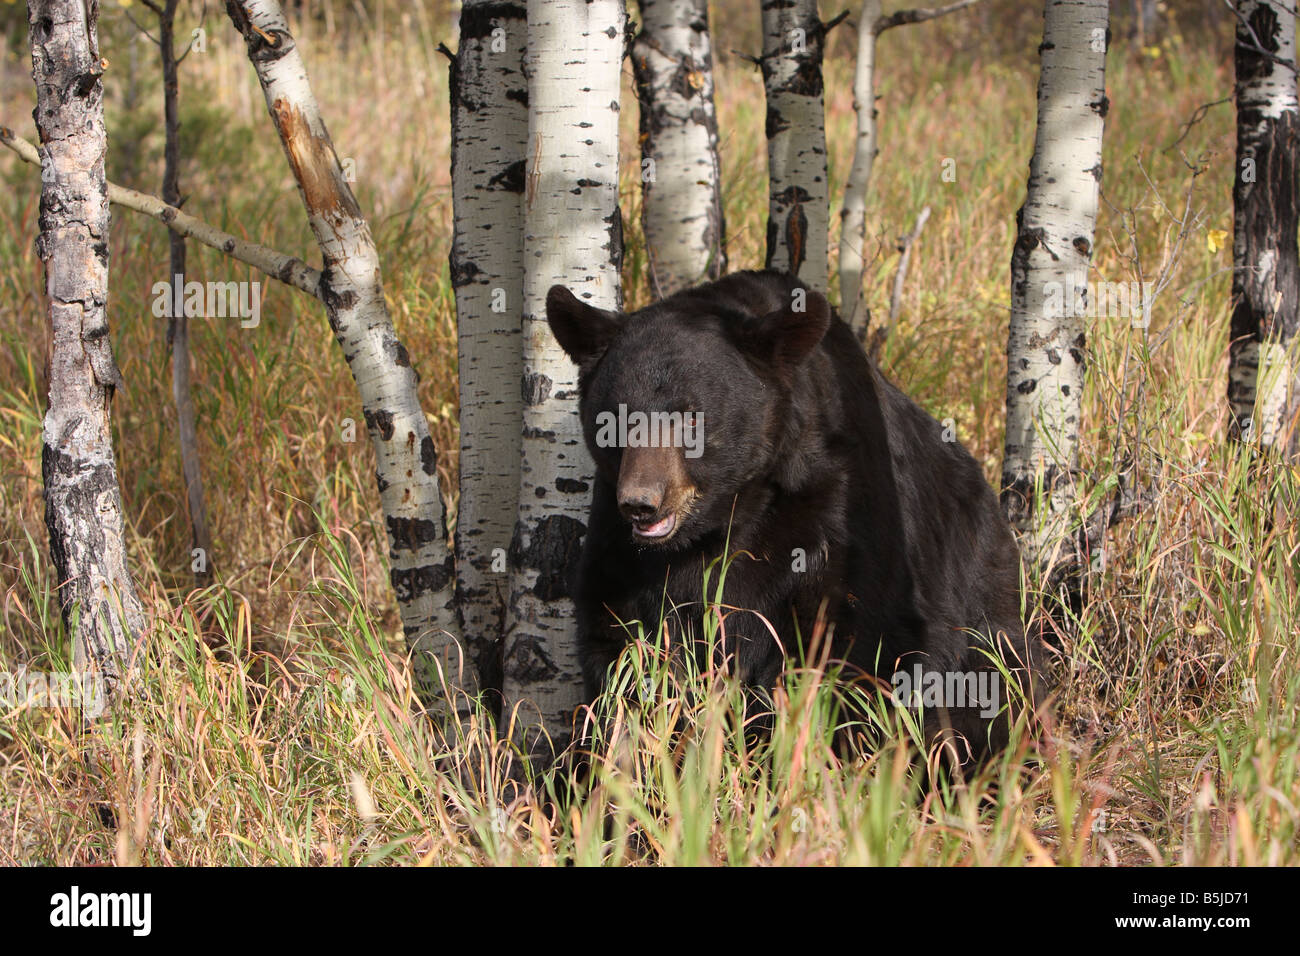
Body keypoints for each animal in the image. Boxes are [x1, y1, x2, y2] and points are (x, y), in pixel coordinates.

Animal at [546, 270, 1043, 764]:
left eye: (691, 417)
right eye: (614, 418)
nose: (641, 502)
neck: (731, 515)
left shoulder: (837, 513)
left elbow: (852, 651)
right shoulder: (620, 548)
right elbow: (621, 655)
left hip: (985, 619)